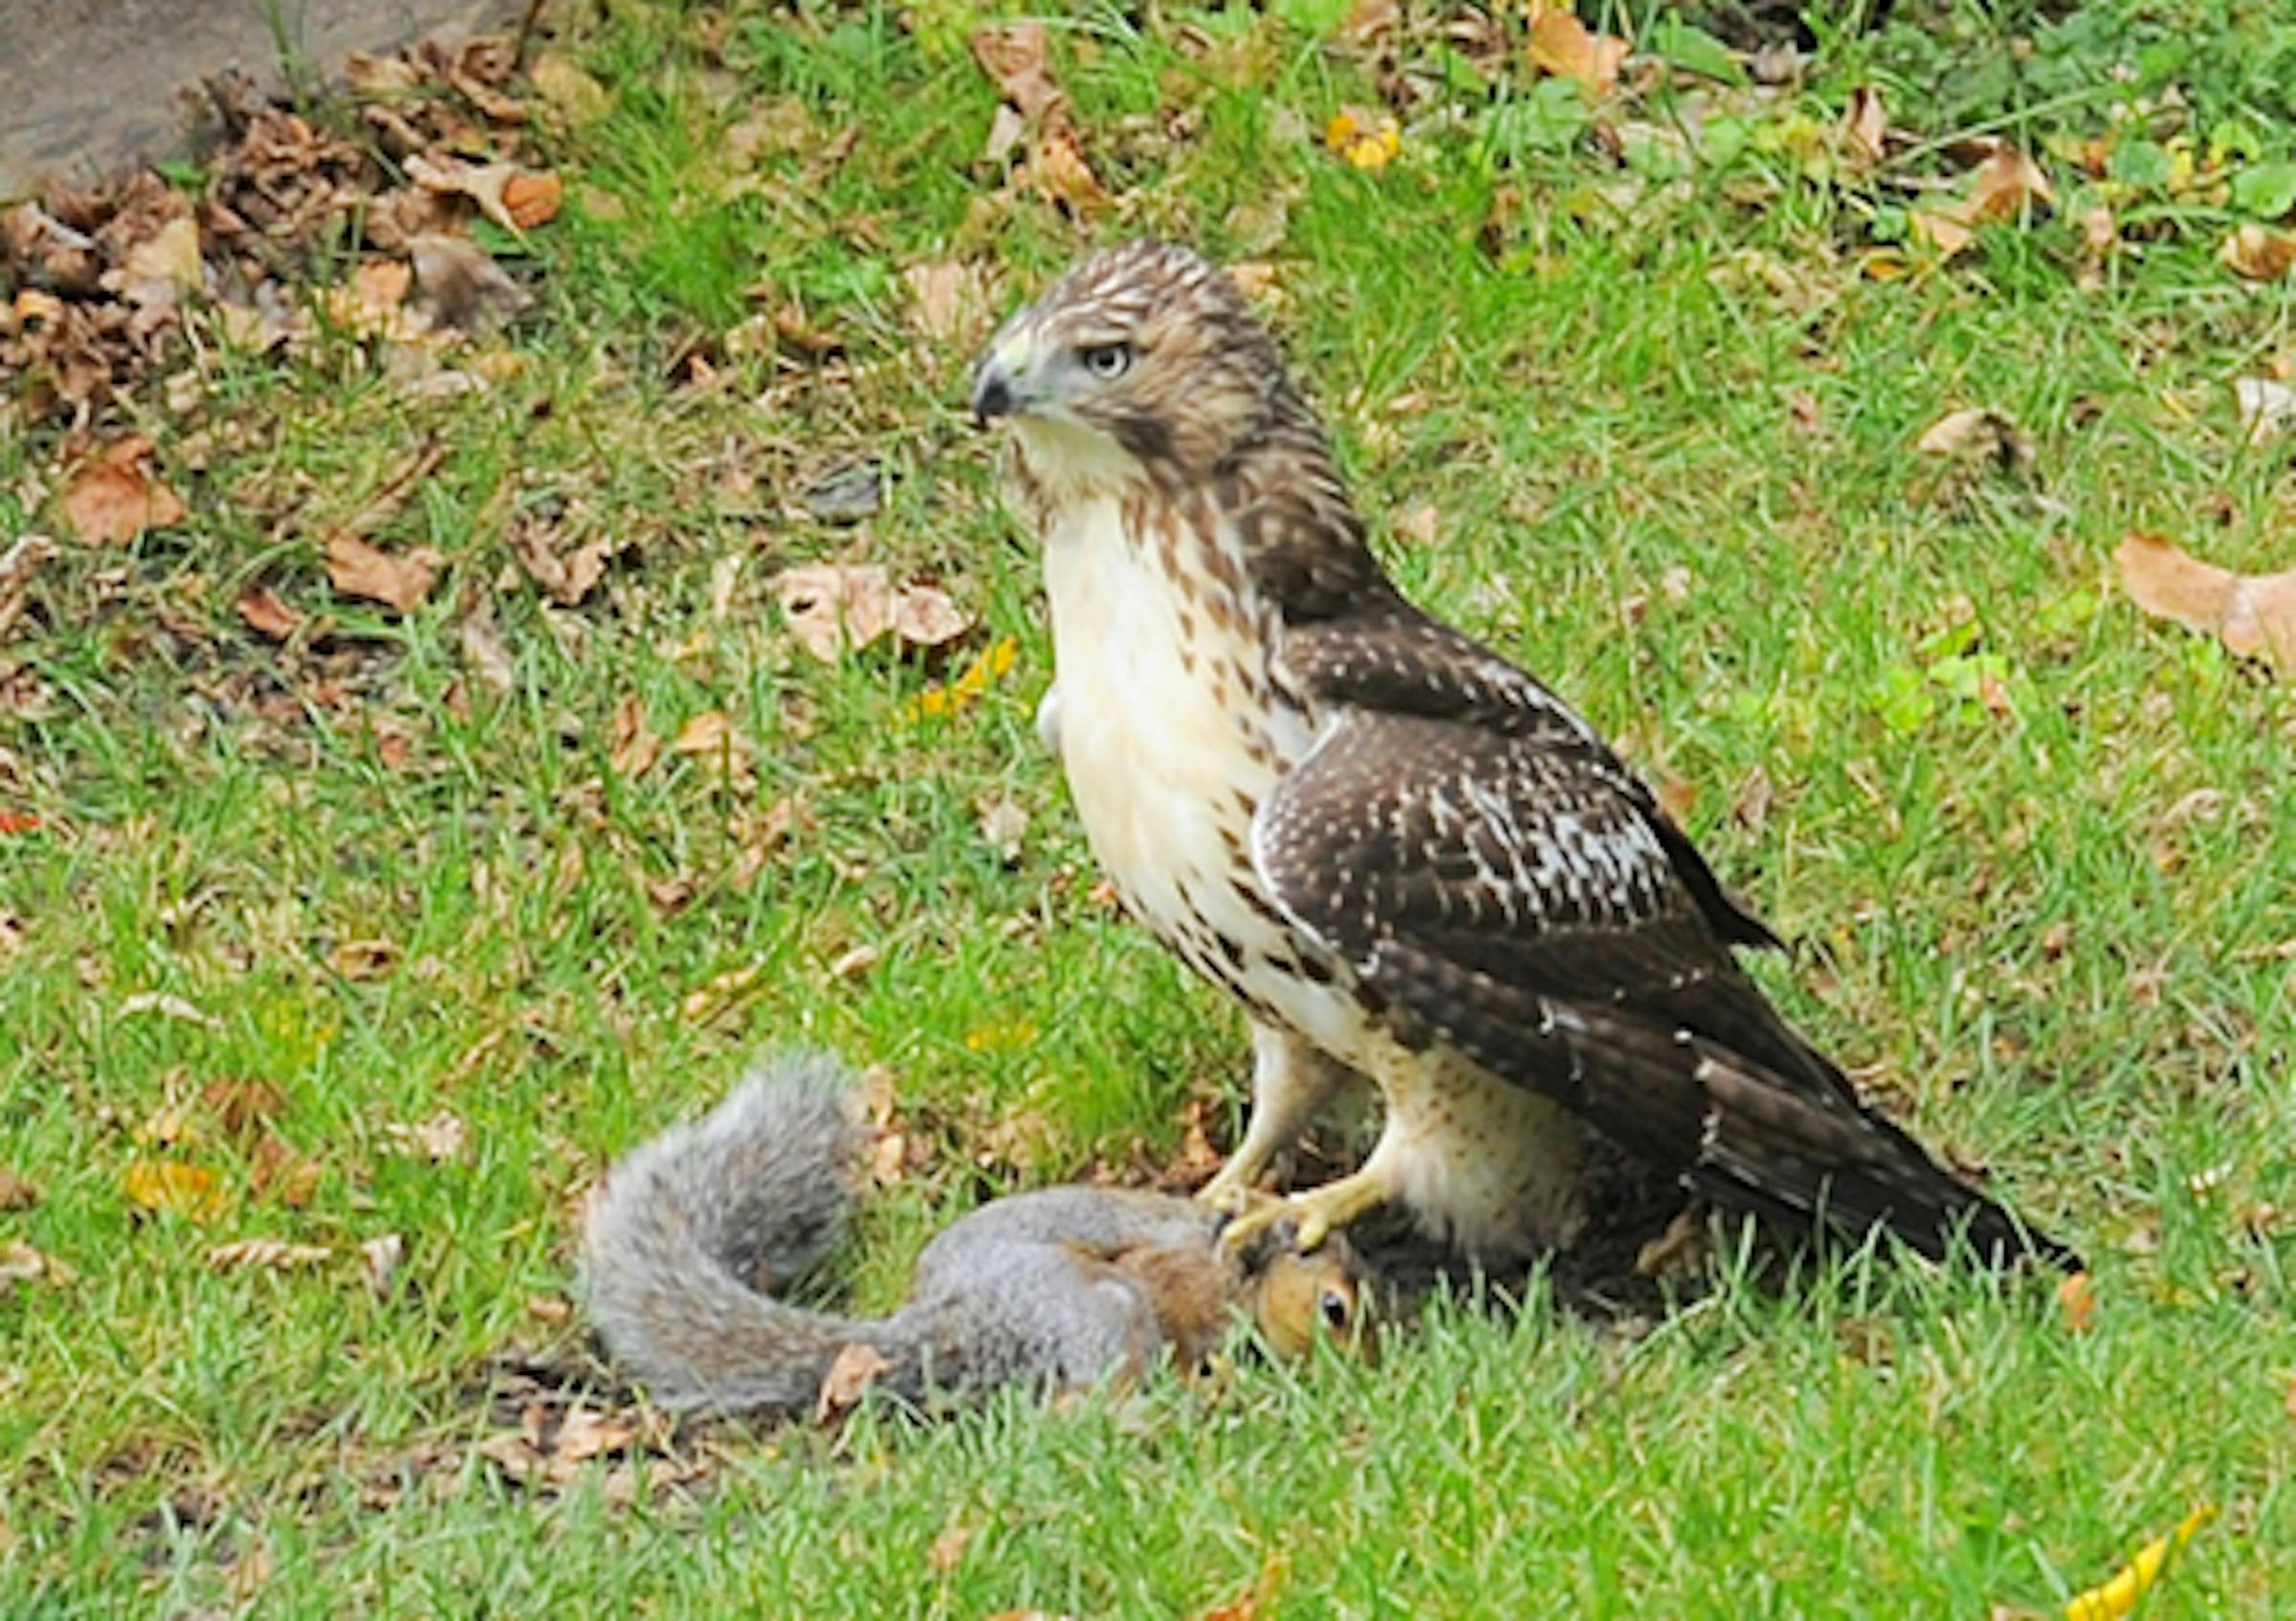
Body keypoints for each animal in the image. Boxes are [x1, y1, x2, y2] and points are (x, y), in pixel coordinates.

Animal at [581, 1052, 1370, 1416]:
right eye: (1334, 1309)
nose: (1367, 1368)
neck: (1240, 1270)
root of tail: (946, 1323)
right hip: (1104, 1311)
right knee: (1082, 1405)